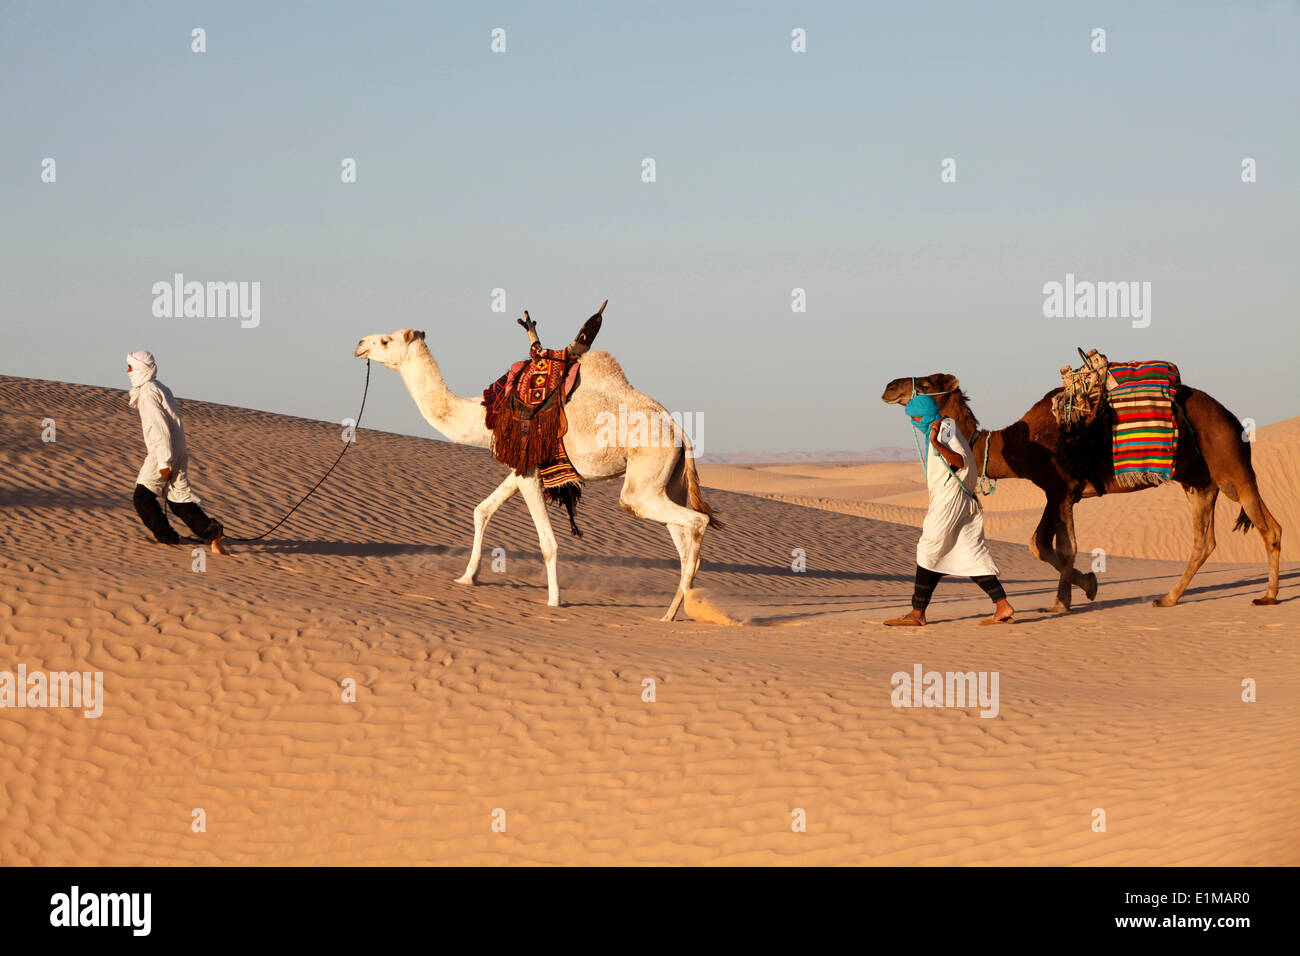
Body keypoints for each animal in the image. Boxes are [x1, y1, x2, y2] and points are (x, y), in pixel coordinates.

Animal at [354, 327, 719, 620]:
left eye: (385, 340)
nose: (359, 343)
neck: (486, 414)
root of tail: (679, 432)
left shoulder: (529, 472)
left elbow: (547, 542)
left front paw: (554, 600)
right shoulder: (520, 468)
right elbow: (481, 510)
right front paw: (467, 577)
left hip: (644, 480)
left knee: (693, 521)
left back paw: (673, 612)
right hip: (667, 482)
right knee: (685, 543)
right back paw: (677, 609)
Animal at [881, 373, 1281, 610]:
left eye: (928, 384)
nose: (889, 387)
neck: (1018, 443)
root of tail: (1234, 419)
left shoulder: (1061, 489)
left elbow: (1062, 547)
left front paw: (1070, 597)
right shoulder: (1058, 493)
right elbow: (1042, 545)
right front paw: (1079, 591)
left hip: (1231, 470)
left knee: (1268, 528)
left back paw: (1267, 596)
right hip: (1200, 482)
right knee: (1207, 540)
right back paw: (1168, 598)